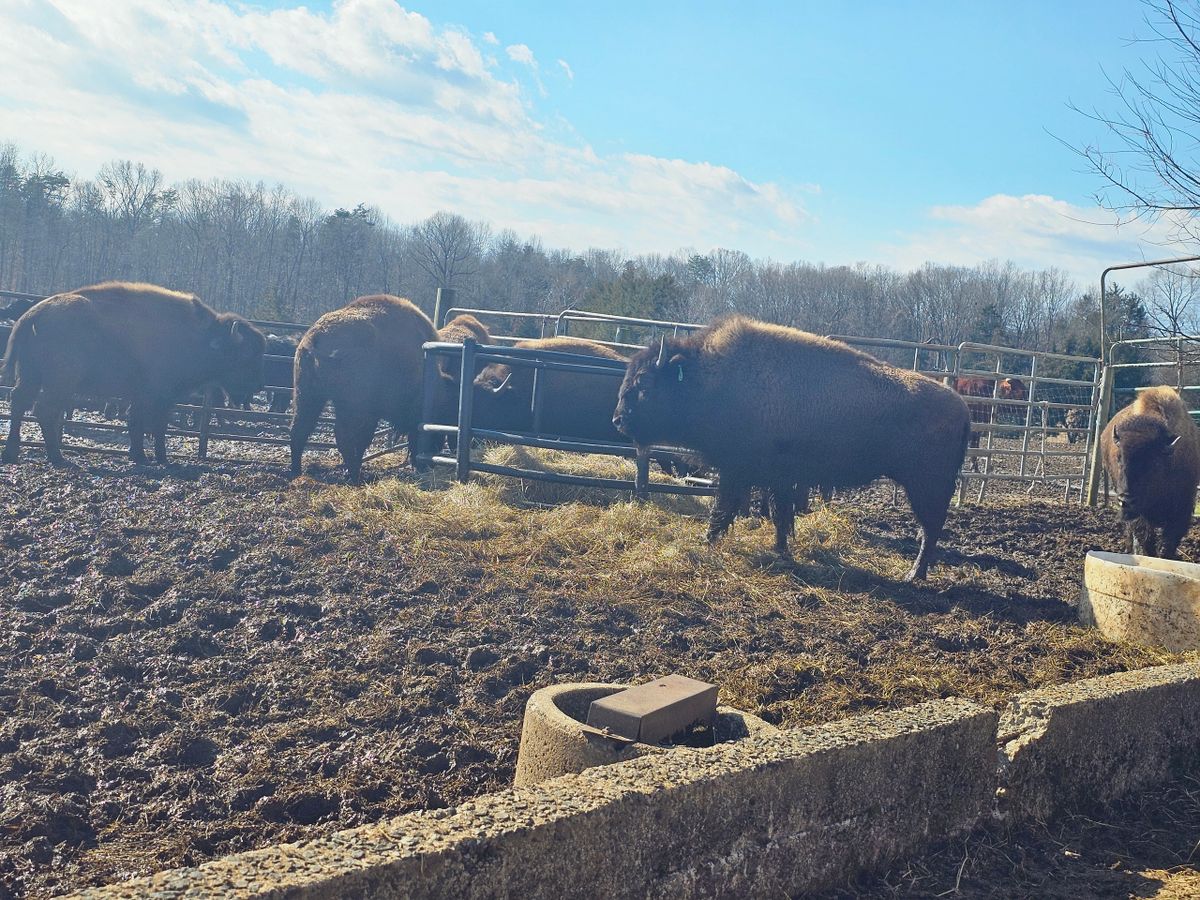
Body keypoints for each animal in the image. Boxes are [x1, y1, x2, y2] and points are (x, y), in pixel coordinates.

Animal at [2, 282, 265, 466]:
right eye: (245, 355)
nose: (258, 385)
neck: (202, 337)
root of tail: (32, 314)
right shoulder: (159, 396)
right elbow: (155, 425)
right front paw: (158, 458)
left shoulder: (141, 396)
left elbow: (136, 422)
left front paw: (140, 455)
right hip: (60, 382)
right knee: (44, 410)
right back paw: (57, 457)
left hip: (31, 376)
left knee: (19, 403)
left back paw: (12, 453)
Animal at [290, 294, 437, 481]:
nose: (429, 465)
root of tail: (315, 337)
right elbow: (362, 440)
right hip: (347, 406)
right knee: (344, 437)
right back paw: (355, 477)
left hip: (308, 396)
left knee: (299, 430)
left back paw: (297, 472)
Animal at [614, 316, 971, 581]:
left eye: (644, 382)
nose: (618, 420)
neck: (708, 378)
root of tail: (962, 407)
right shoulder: (778, 478)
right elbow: (779, 515)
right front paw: (781, 550)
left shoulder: (737, 470)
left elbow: (724, 508)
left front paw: (708, 542)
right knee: (931, 528)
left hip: (925, 486)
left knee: (930, 527)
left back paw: (914, 575)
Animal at [1100, 386, 1200, 559]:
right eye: (1119, 458)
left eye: (1153, 461)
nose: (1125, 500)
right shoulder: (1141, 515)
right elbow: (1145, 538)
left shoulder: (1182, 507)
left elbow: (1169, 542)